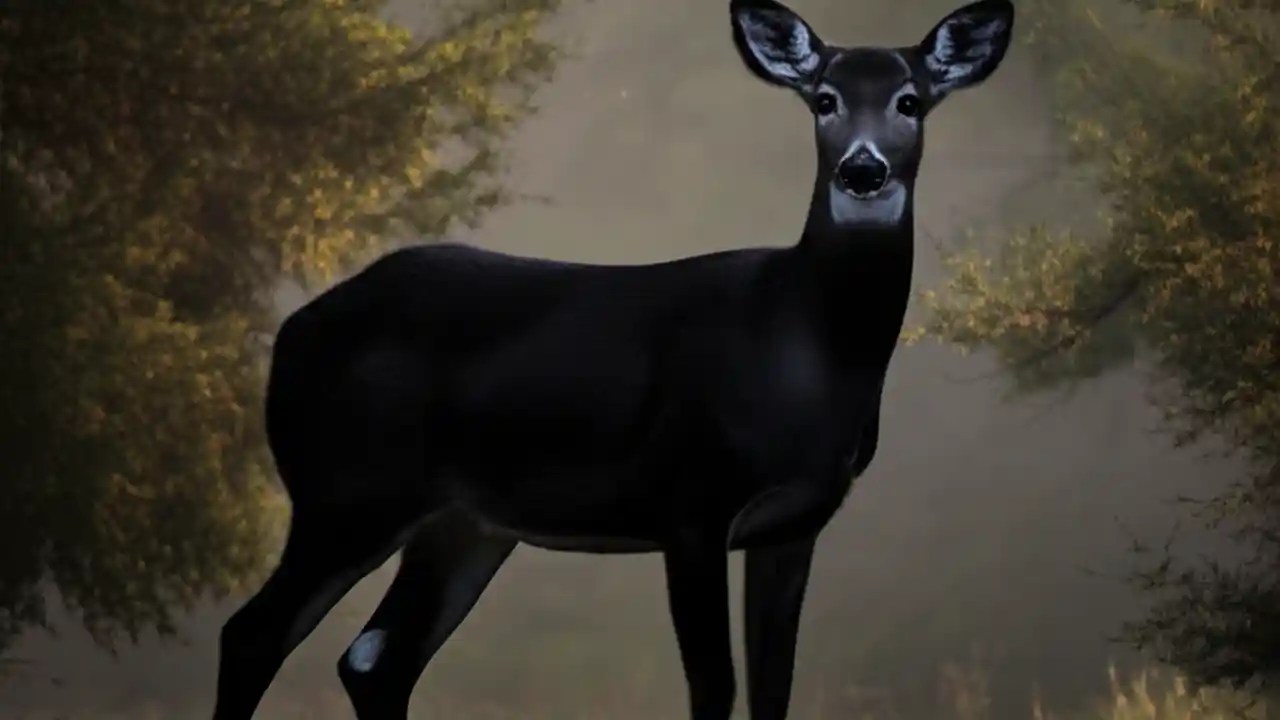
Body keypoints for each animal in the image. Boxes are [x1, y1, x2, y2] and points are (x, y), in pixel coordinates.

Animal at [211, 0, 1014, 718]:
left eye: (911, 101)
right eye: (824, 100)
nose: (863, 170)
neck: (803, 354)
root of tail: (292, 332)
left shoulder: (795, 523)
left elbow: (773, 689)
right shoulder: (689, 500)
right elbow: (714, 686)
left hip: (465, 523)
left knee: (376, 659)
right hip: (348, 488)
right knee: (254, 633)